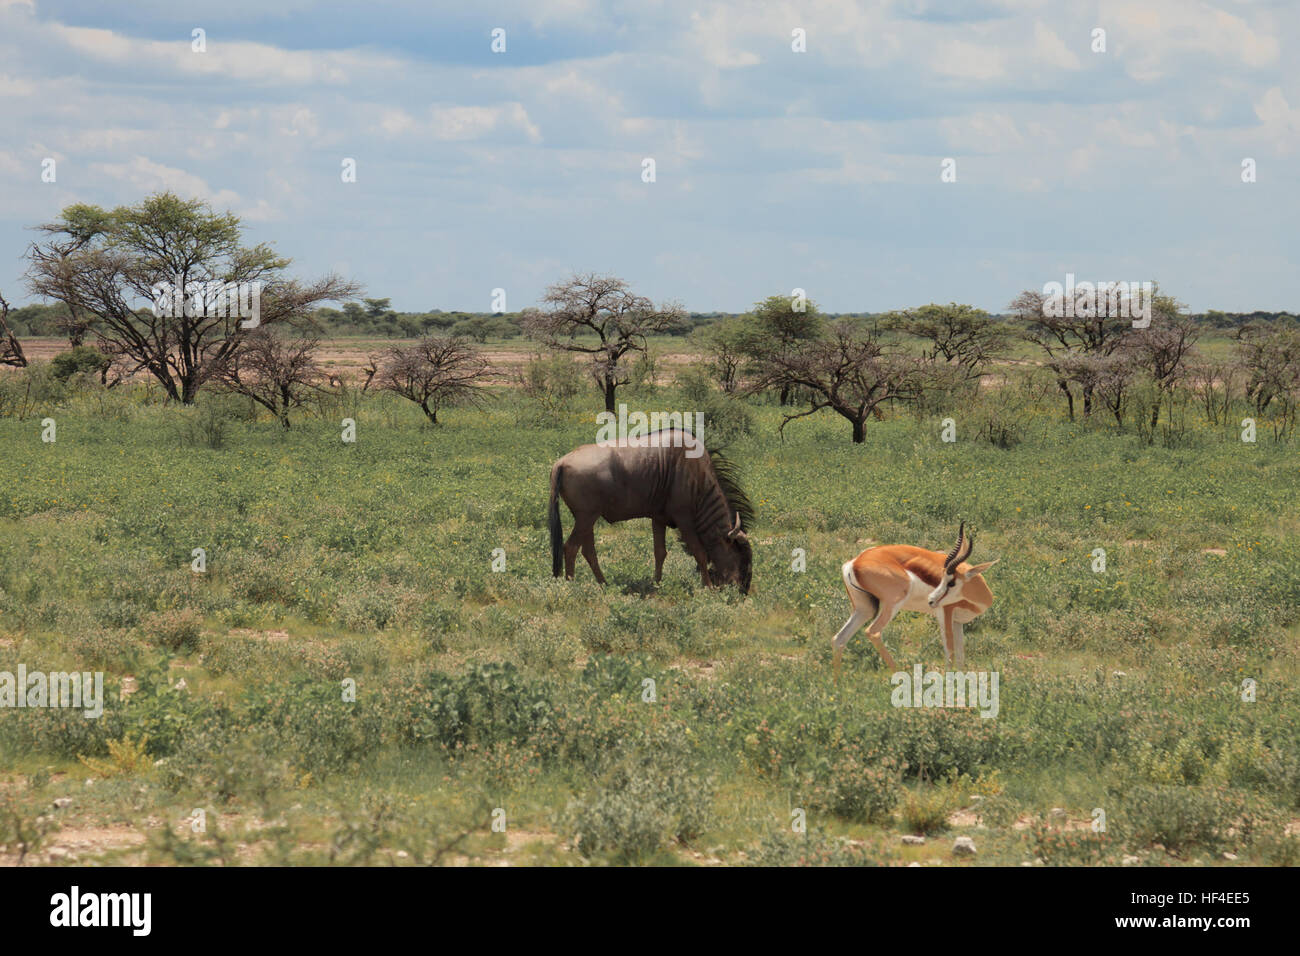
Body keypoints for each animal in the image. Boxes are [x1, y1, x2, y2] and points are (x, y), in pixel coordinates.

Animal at [832, 523, 997, 677]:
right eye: (941, 578)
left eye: (951, 582)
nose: (931, 600)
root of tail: (855, 561)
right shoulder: (944, 613)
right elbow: (950, 651)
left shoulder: (958, 621)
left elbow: (961, 656)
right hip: (892, 604)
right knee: (873, 632)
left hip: (864, 609)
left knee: (839, 639)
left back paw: (836, 685)